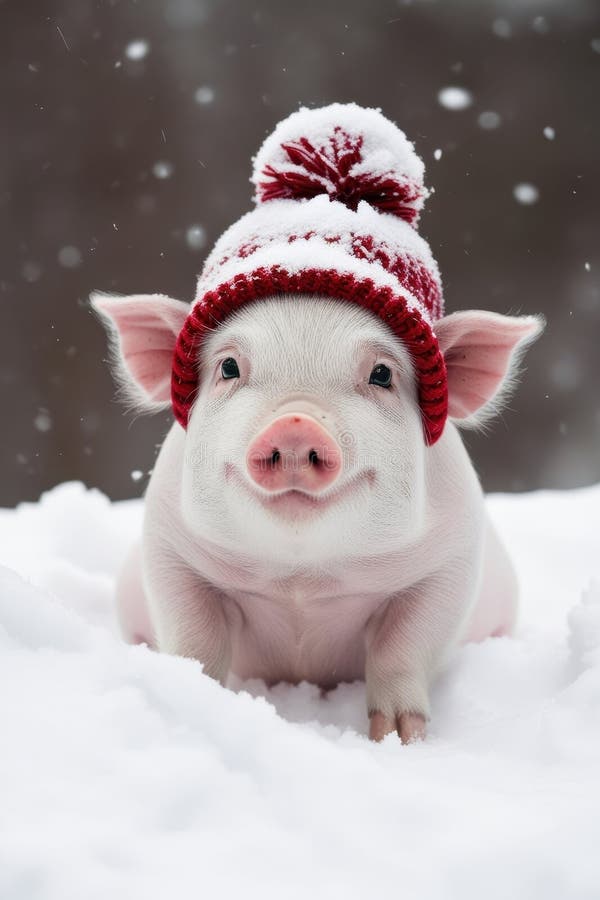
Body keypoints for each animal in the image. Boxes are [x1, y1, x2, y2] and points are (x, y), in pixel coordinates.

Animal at [92, 289, 543, 743]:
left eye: (382, 374)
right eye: (229, 366)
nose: (295, 423)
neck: (302, 582)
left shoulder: (449, 563)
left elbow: (403, 650)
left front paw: (399, 737)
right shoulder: (171, 549)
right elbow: (196, 641)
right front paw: (197, 698)